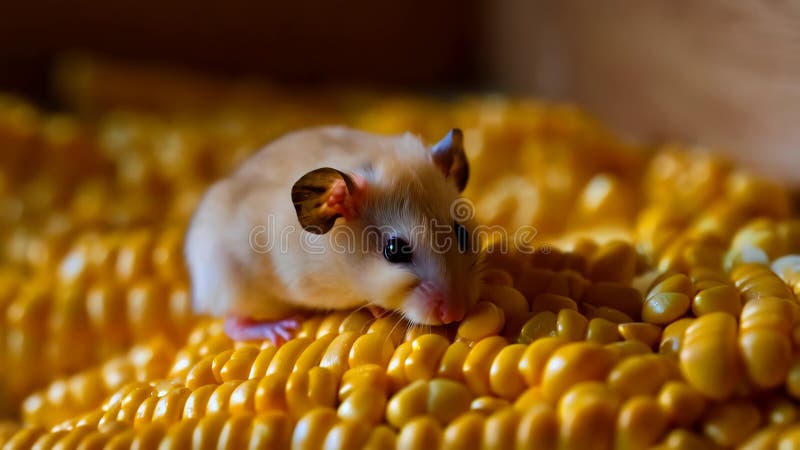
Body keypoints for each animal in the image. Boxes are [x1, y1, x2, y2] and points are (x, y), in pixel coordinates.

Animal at [185, 126, 483, 342]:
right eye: (394, 251)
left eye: (462, 233)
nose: (456, 313)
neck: (344, 264)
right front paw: (377, 308)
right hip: (232, 282)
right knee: (232, 322)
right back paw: (280, 330)